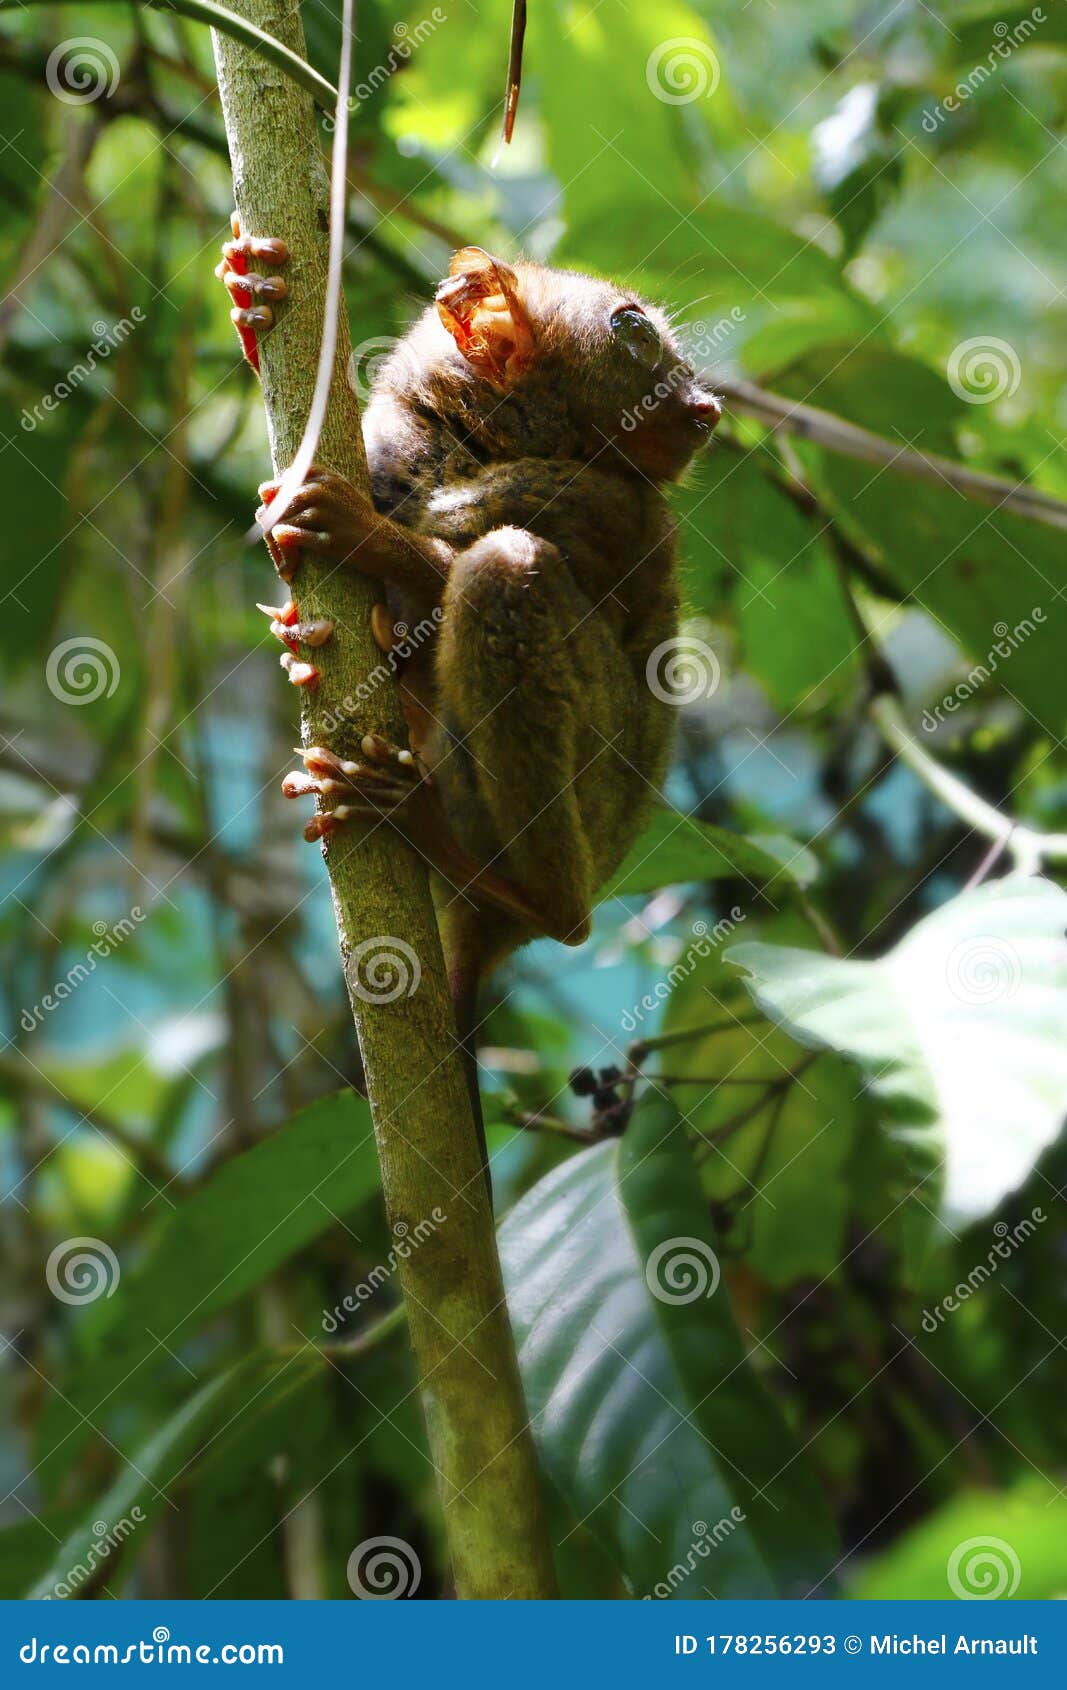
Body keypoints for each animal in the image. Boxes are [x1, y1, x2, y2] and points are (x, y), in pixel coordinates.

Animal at [217, 219, 721, 1154]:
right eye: (633, 332)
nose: (706, 408)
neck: (482, 447)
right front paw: (251, 294)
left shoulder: (614, 508)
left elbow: (466, 565)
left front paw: (363, 533)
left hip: (586, 812)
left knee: (501, 571)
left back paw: (477, 861)